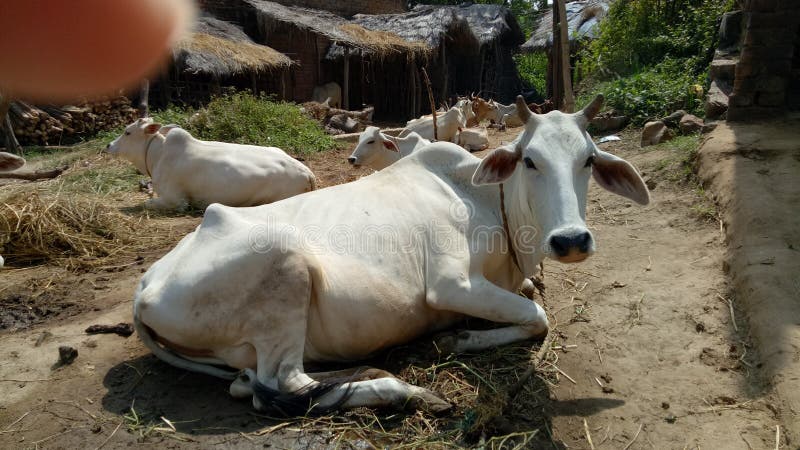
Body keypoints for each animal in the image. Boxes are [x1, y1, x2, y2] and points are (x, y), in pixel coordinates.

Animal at [106, 119, 316, 210]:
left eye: (127, 132)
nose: (109, 145)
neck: (157, 155)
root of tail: (306, 172)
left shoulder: (176, 200)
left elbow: (149, 203)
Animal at [132, 95, 650, 414]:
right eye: (529, 160)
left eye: (588, 160)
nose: (570, 240)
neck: (487, 199)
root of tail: (144, 288)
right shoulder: (451, 285)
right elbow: (538, 316)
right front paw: (456, 339)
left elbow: (531, 300)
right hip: (284, 270)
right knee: (285, 385)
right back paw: (407, 390)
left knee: (250, 384)